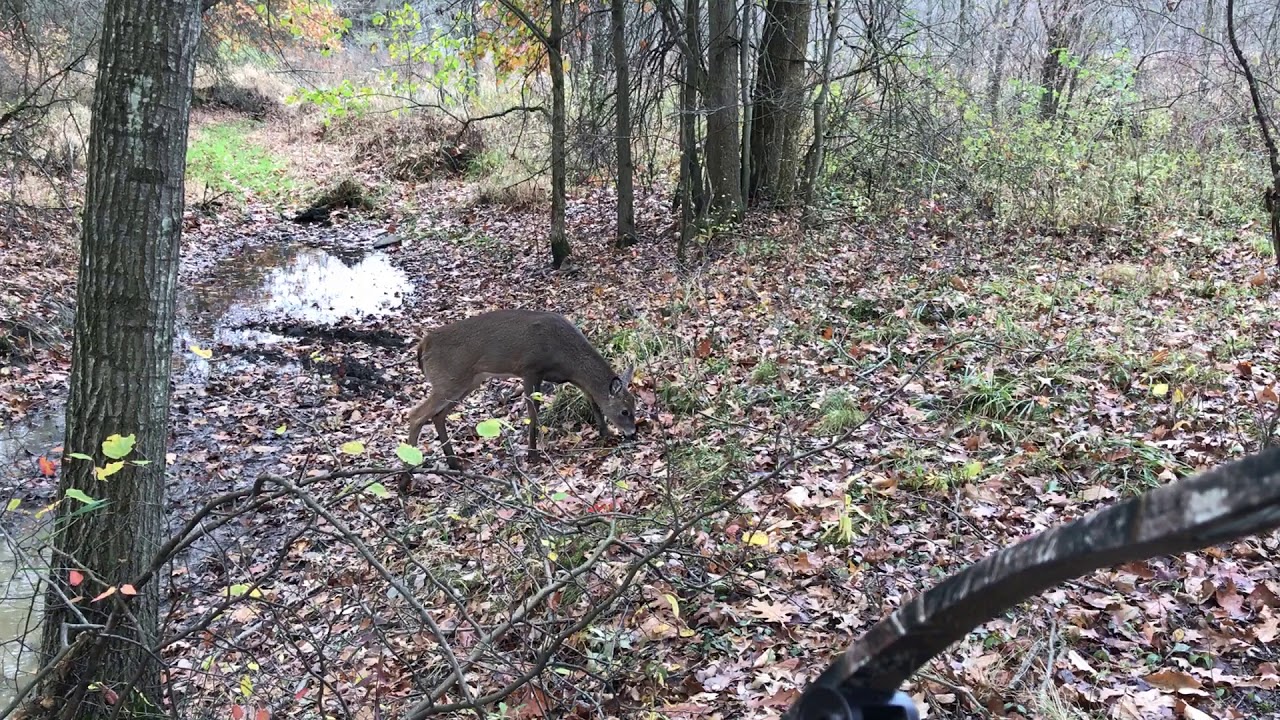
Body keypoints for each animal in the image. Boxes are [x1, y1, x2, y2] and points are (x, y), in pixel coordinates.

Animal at [402, 309, 637, 475]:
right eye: (625, 411)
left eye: (635, 406)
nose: (633, 433)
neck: (566, 357)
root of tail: (423, 346)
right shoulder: (530, 369)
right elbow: (533, 412)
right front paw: (533, 455)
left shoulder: (569, 377)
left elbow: (593, 400)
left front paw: (605, 433)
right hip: (449, 380)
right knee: (415, 414)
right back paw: (406, 477)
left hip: (467, 382)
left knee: (437, 415)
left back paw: (453, 464)